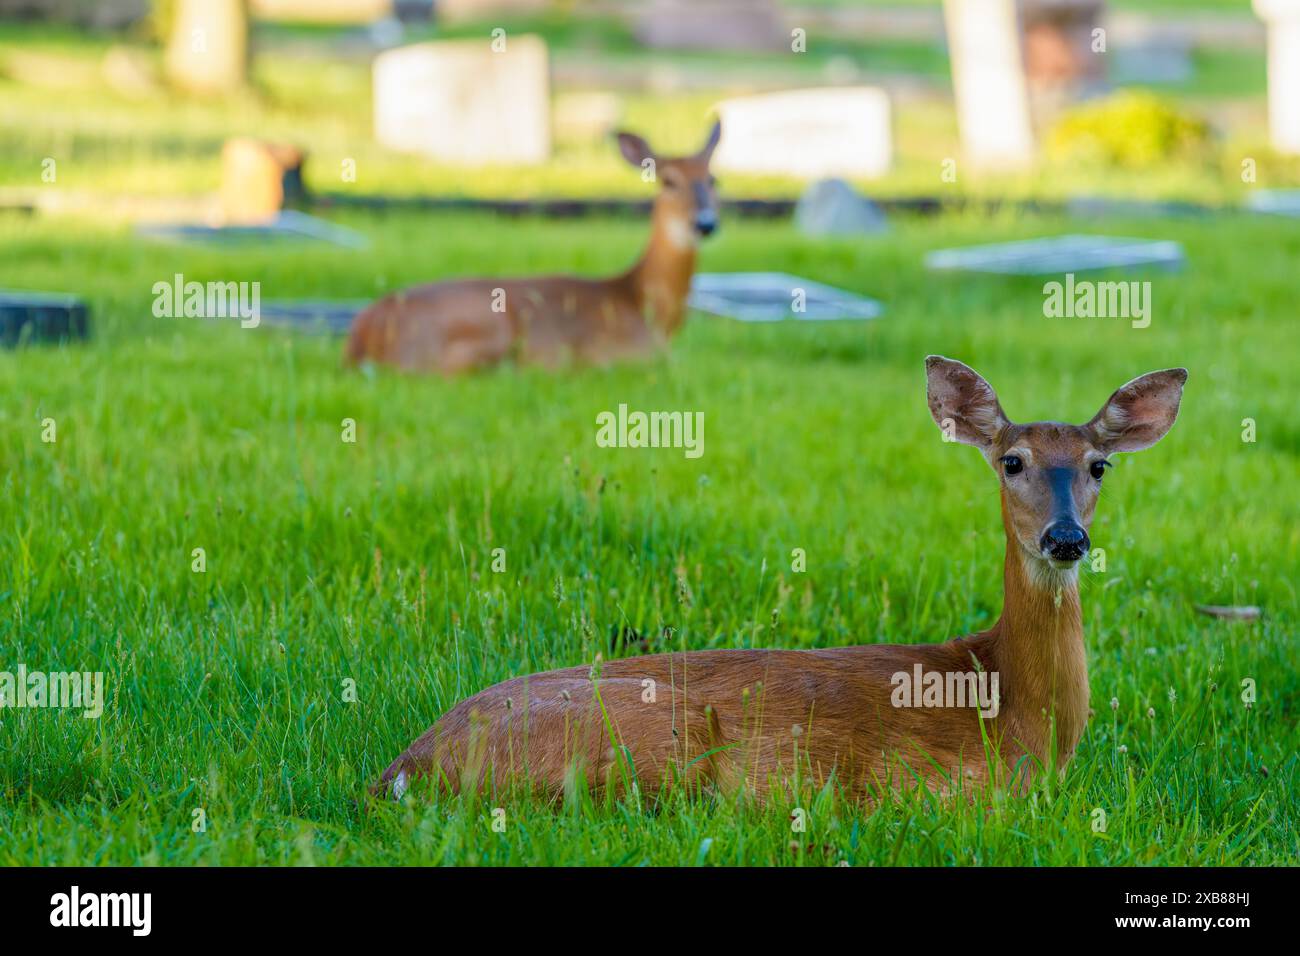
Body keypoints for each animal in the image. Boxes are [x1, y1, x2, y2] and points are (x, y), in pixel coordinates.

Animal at [344, 123, 722, 374]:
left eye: (713, 180)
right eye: (669, 181)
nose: (705, 223)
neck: (642, 301)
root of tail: (358, 339)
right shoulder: (627, 355)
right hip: (486, 328)